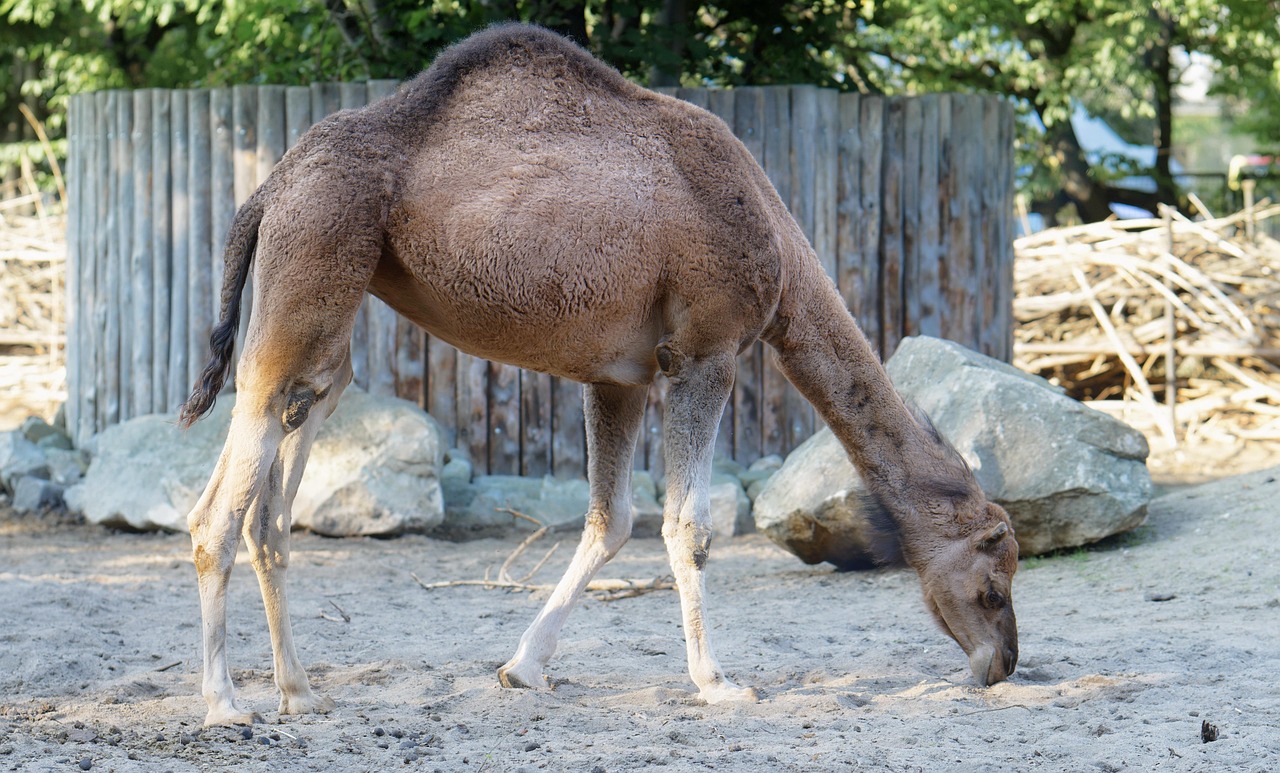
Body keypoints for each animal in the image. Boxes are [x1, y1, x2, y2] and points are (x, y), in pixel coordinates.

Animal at [178, 23, 1019, 727]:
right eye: (996, 572)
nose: (1004, 662)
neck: (778, 244)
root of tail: (267, 190)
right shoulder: (706, 351)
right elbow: (688, 526)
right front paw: (719, 682)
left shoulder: (619, 375)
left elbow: (611, 520)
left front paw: (522, 667)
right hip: (310, 267)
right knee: (215, 510)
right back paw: (224, 703)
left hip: (325, 333)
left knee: (273, 501)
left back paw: (299, 690)